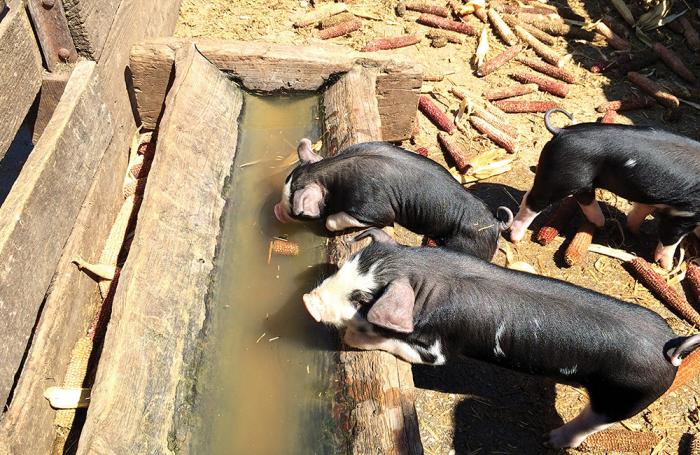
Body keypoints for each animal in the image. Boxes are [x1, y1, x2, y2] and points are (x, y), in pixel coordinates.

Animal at [273, 139, 513, 261]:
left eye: (294, 209)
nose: (276, 210)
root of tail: (496, 224)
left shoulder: (374, 209)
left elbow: (333, 221)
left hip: (469, 246)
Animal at [303, 228, 700, 448]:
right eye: (344, 267)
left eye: (362, 299)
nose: (308, 300)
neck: (426, 277)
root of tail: (670, 348)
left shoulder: (438, 347)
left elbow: (407, 348)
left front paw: (353, 336)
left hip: (623, 396)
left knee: (594, 420)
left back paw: (552, 441)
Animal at [509, 108, 700, 270]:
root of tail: (561, 132)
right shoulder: (685, 213)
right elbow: (671, 238)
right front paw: (667, 267)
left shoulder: (653, 198)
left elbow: (639, 212)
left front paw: (634, 230)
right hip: (561, 178)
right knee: (533, 201)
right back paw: (515, 238)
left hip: (579, 181)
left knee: (583, 196)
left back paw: (600, 223)